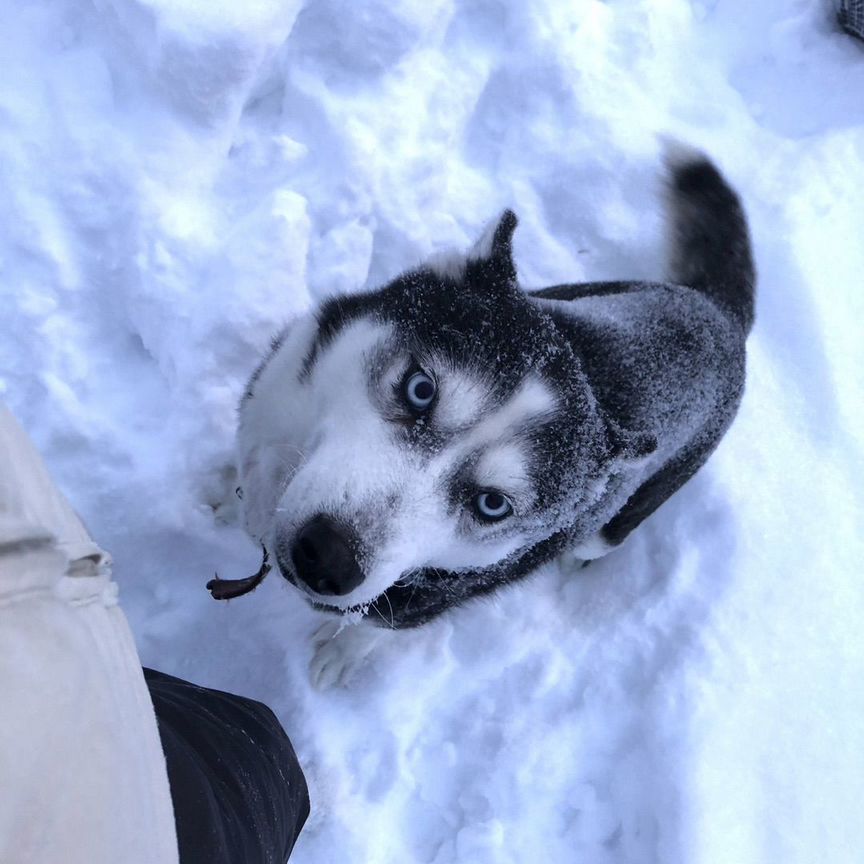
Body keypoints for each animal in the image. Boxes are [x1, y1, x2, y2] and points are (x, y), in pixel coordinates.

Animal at [236, 148, 756, 636]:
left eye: (492, 505)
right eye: (420, 389)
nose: (329, 557)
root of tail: (719, 314)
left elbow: (373, 630)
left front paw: (342, 649)